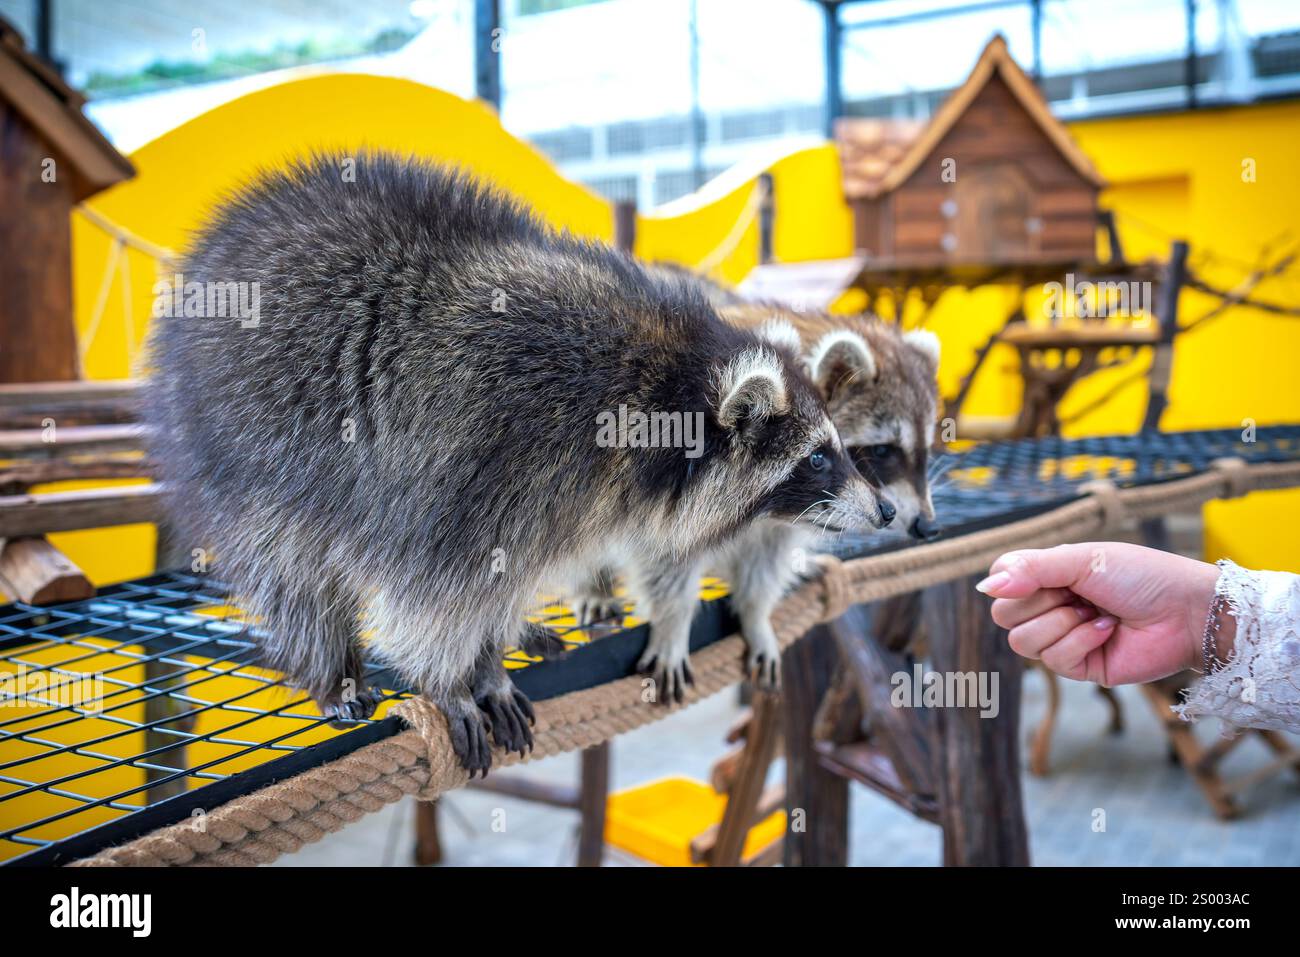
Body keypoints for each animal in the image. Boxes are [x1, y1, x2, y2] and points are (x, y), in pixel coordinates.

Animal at [146, 153, 891, 773]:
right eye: (817, 458)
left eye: (836, 446)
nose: (884, 508)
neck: (666, 383)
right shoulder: (488, 455)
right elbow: (435, 590)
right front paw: (450, 682)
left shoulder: (562, 495)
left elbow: (509, 576)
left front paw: (488, 663)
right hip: (243, 436)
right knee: (287, 565)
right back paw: (330, 666)